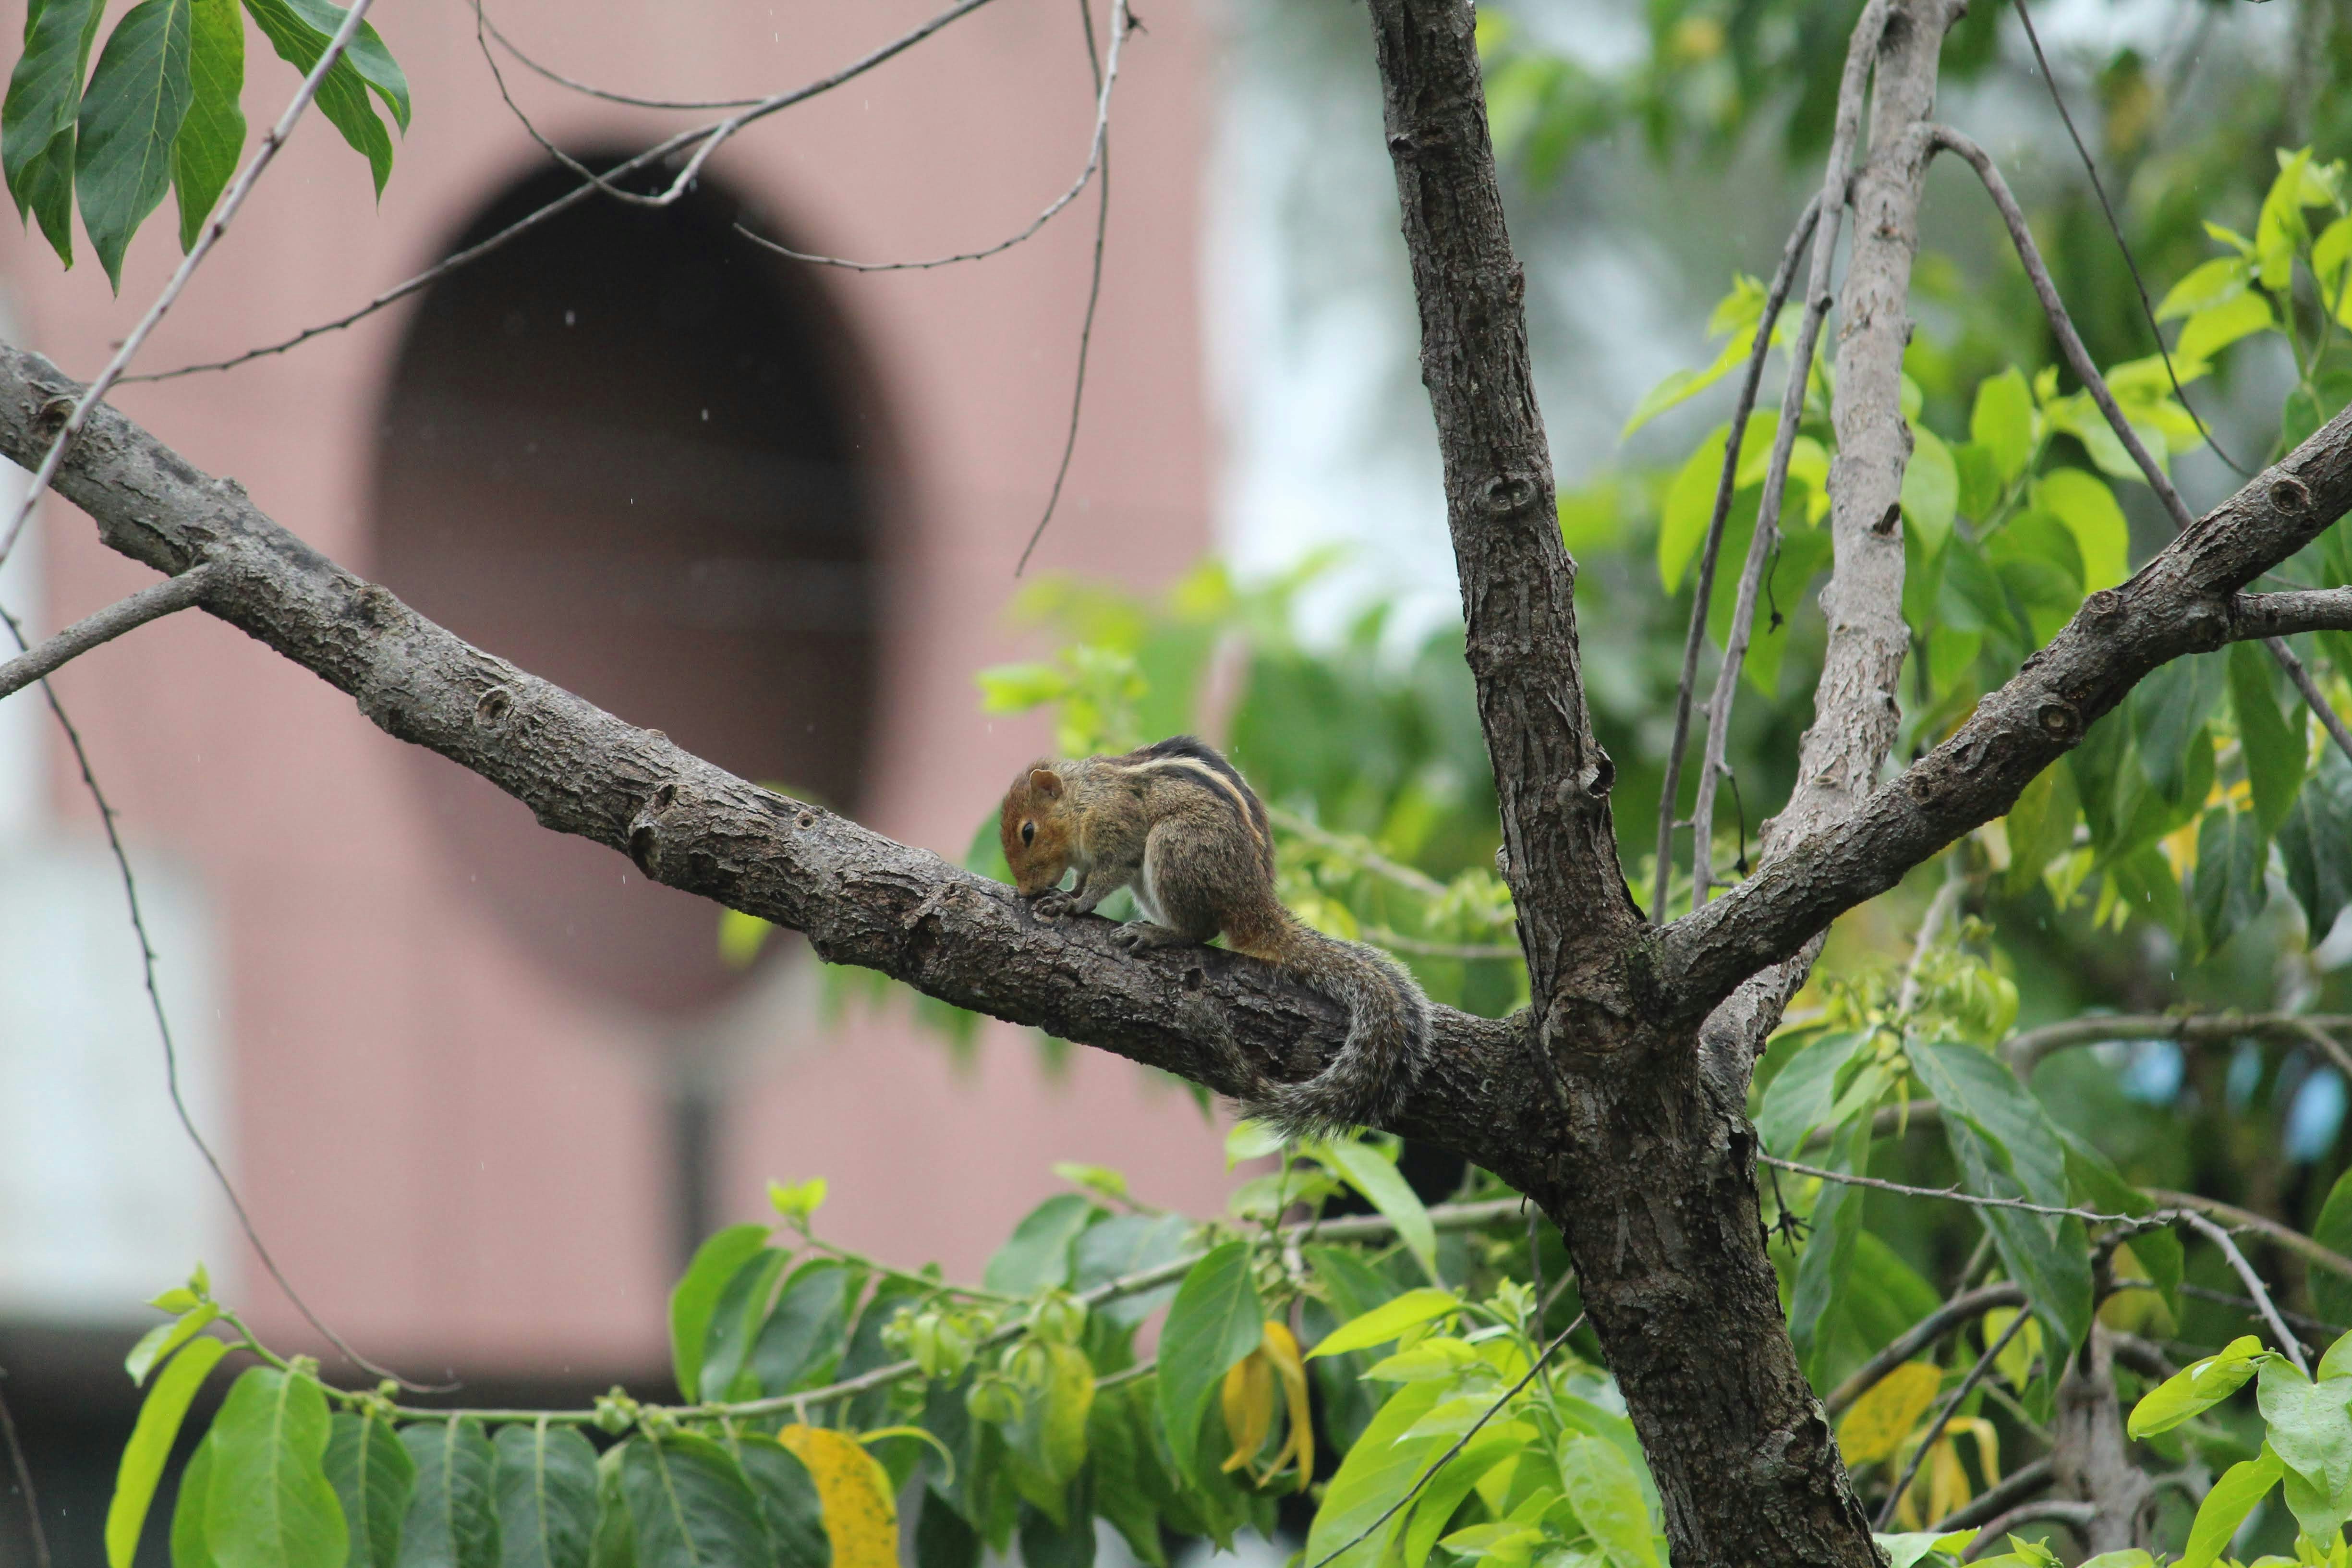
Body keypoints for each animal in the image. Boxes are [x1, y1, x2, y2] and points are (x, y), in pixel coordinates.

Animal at [998, 735, 1432, 1138]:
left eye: (1028, 831)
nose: (1026, 891)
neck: (1082, 796)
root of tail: (1256, 905)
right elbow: (1084, 878)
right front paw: (1067, 895)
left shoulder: (1114, 828)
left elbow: (1105, 877)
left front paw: (1073, 904)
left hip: (1175, 845)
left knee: (1200, 930)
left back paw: (1156, 933)